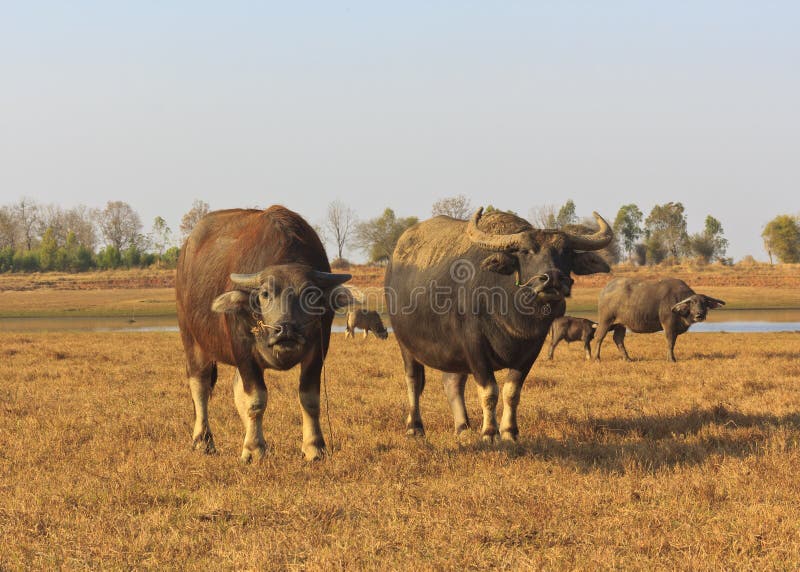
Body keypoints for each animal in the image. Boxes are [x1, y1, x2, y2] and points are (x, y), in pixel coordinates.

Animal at [176, 206, 352, 462]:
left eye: (309, 294)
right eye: (266, 293)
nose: (286, 329)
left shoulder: (318, 349)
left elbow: (309, 399)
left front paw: (314, 447)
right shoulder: (243, 351)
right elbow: (256, 399)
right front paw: (254, 449)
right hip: (192, 340)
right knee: (200, 385)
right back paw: (203, 441)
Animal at [385, 207, 613, 441]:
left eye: (566, 252)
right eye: (525, 251)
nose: (553, 278)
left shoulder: (531, 351)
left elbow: (511, 392)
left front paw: (509, 432)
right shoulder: (474, 347)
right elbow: (489, 392)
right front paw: (489, 432)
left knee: (453, 382)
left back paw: (463, 427)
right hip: (405, 343)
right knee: (414, 381)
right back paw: (414, 427)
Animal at [594, 277, 725, 362]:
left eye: (704, 303)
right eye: (692, 302)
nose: (700, 314)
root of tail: (604, 290)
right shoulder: (668, 325)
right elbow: (670, 342)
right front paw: (671, 359)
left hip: (621, 324)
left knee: (618, 339)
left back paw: (627, 359)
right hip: (606, 320)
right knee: (599, 337)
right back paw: (596, 358)